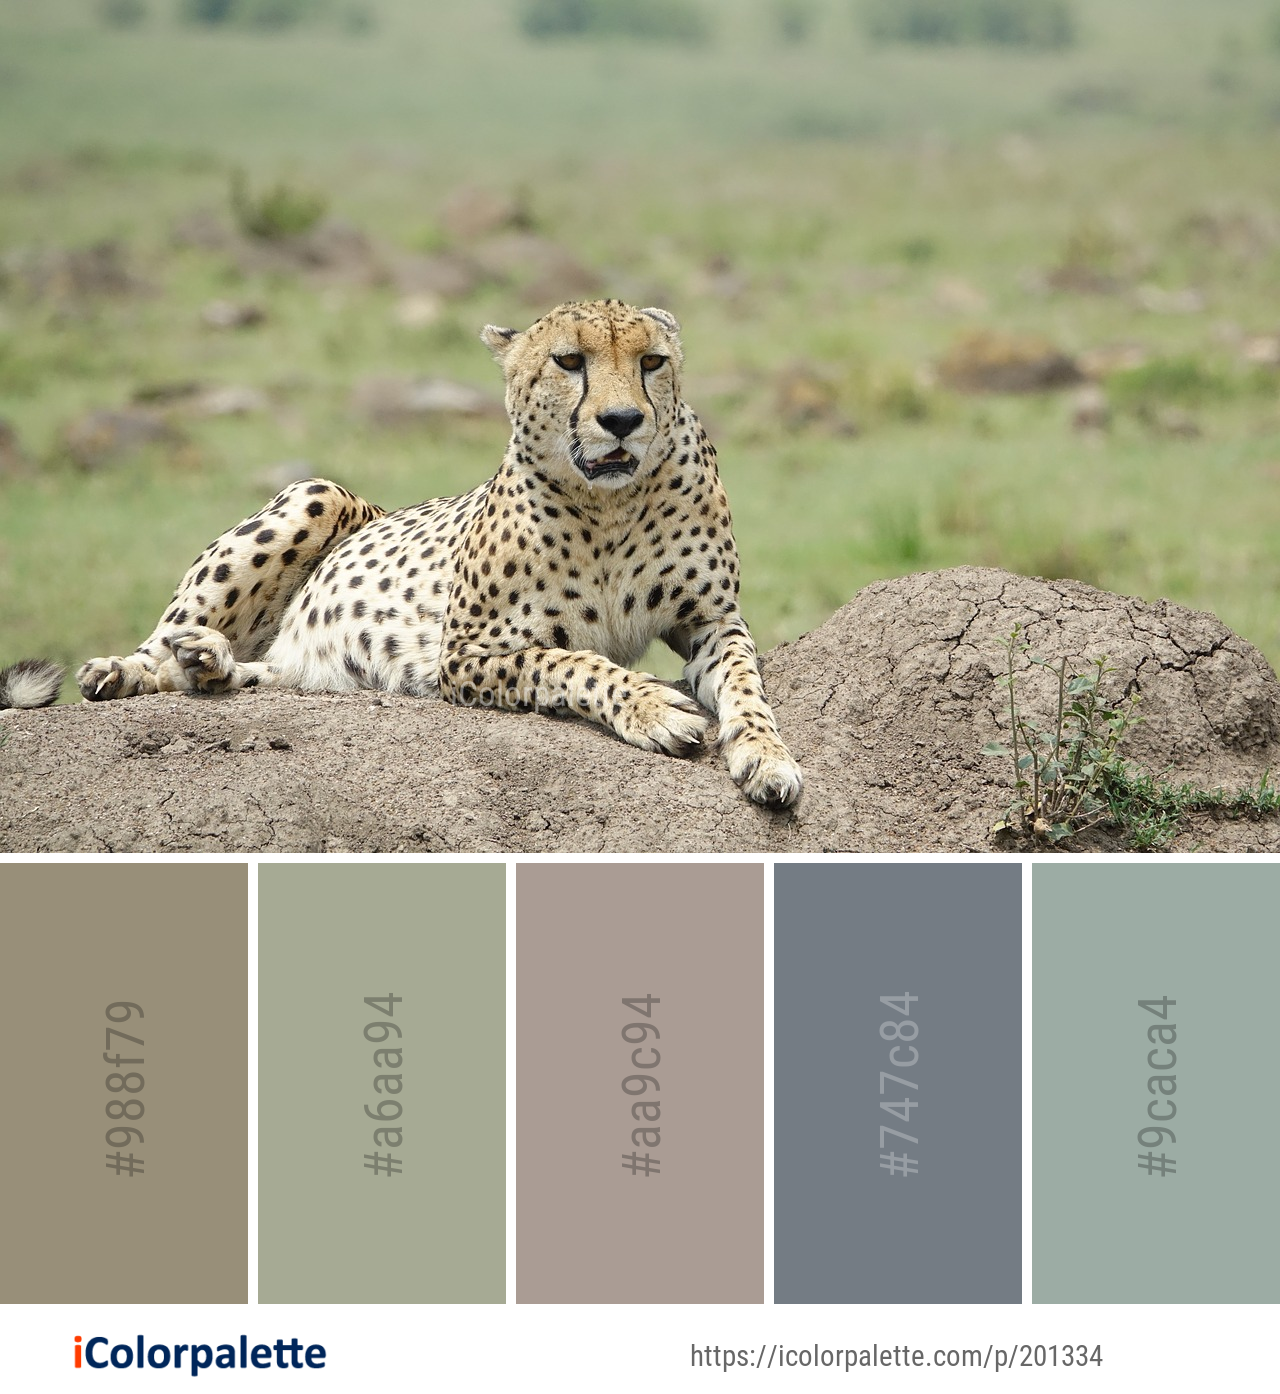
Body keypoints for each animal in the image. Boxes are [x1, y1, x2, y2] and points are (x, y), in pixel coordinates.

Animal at [0, 300, 802, 808]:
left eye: (653, 361)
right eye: (569, 361)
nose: (623, 420)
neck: (608, 503)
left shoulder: (711, 619)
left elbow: (745, 685)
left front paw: (767, 757)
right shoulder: (469, 652)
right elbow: (573, 662)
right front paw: (652, 706)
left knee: (260, 673)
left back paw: (214, 665)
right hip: (316, 493)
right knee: (164, 643)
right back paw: (128, 669)